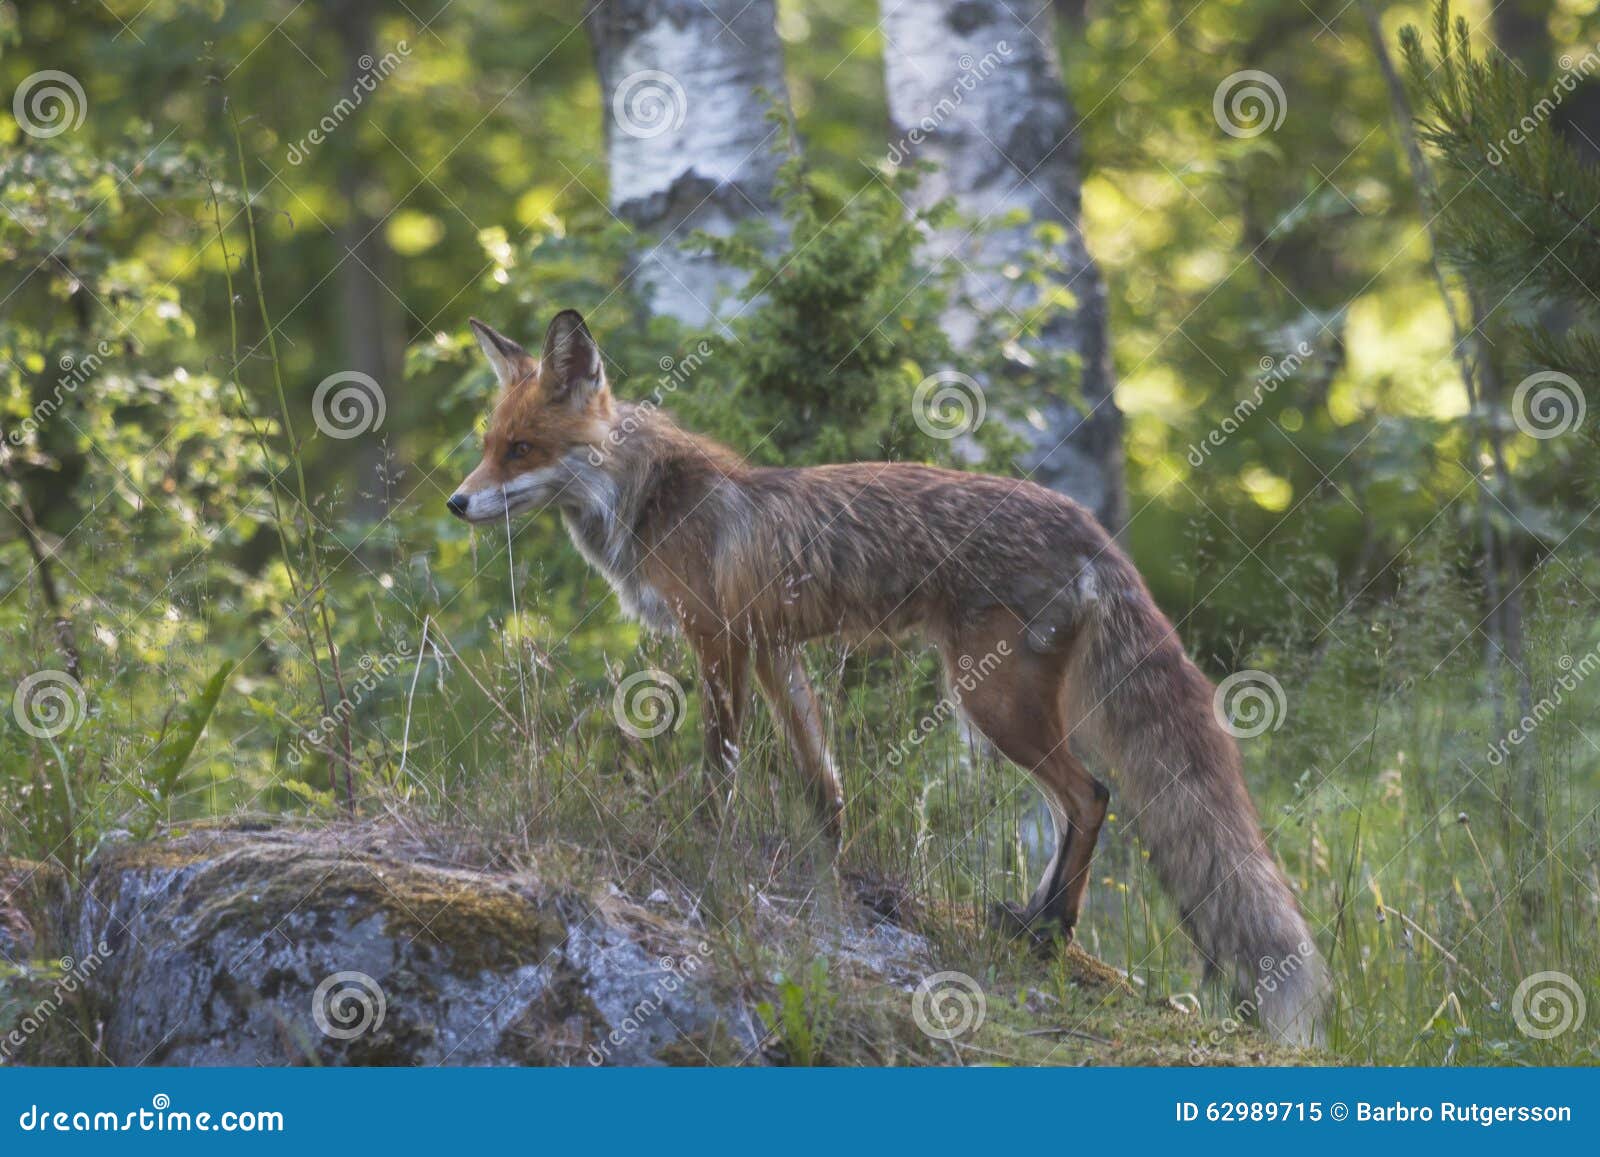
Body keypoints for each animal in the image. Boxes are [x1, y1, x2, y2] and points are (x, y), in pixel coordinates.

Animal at [448, 310, 1331, 1046]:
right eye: (488, 442)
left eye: (520, 449)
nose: (456, 501)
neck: (651, 496)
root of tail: (1089, 527)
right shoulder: (774, 651)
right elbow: (823, 780)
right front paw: (827, 871)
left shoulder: (720, 643)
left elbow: (717, 770)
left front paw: (706, 848)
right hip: (1000, 704)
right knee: (1078, 804)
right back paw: (1033, 923)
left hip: (989, 699)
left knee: (1092, 795)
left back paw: (1050, 934)